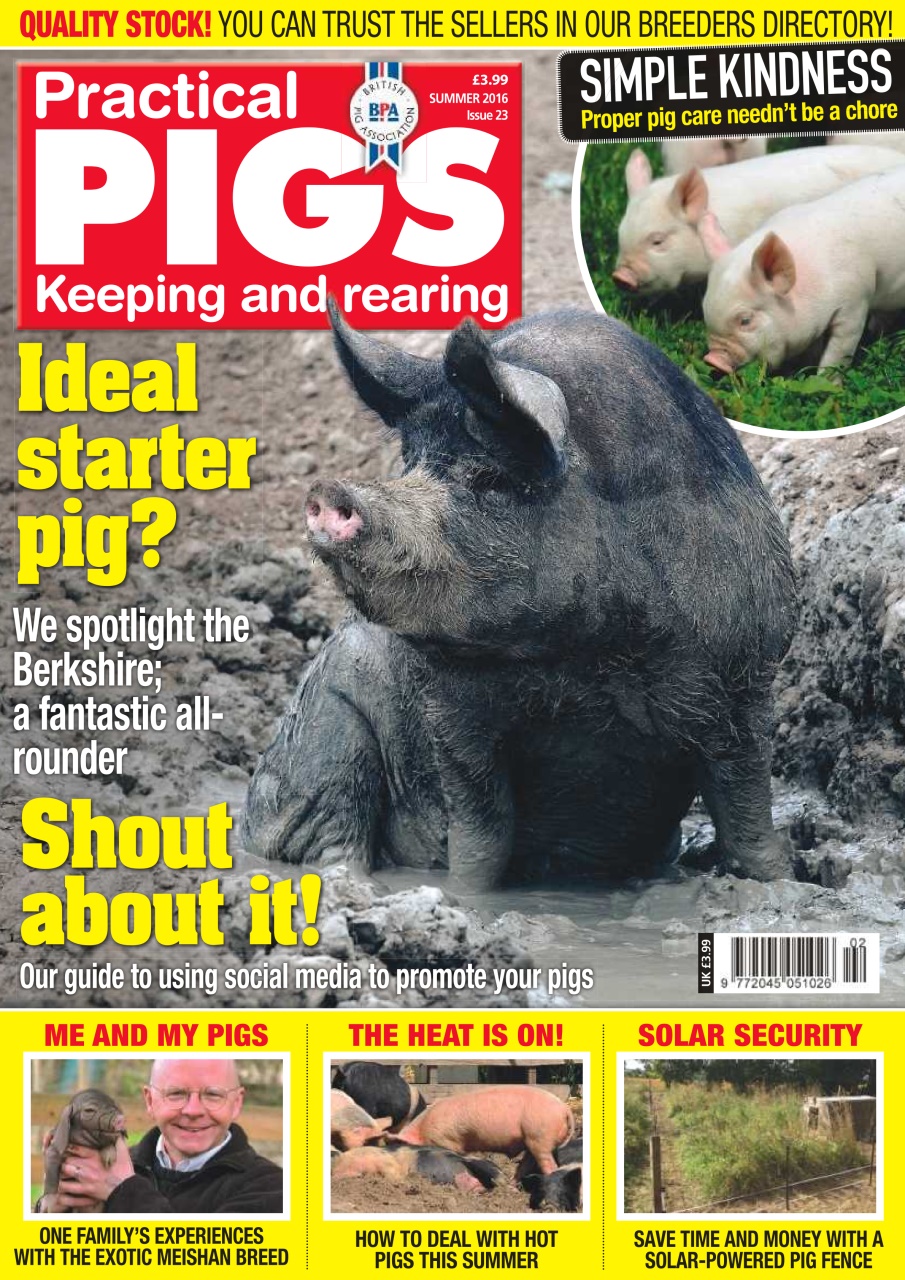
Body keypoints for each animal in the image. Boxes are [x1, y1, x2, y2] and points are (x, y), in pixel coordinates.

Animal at [243, 305, 797, 888]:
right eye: (411, 462)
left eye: (488, 478)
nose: (330, 491)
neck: (588, 656)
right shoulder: (450, 713)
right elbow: (480, 834)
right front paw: (466, 897)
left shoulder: (747, 677)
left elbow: (748, 814)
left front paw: (782, 879)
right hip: (322, 736)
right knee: (333, 833)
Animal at [395, 1086, 573, 1175]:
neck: (422, 1128)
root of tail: (565, 1109)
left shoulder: (447, 1140)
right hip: (533, 1140)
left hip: (540, 1136)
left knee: (549, 1164)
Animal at [700, 166, 905, 374]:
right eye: (703, 308)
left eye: (745, 320)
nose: (712, 359)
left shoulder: (855, 301)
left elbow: (838, 353)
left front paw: (824, 380)